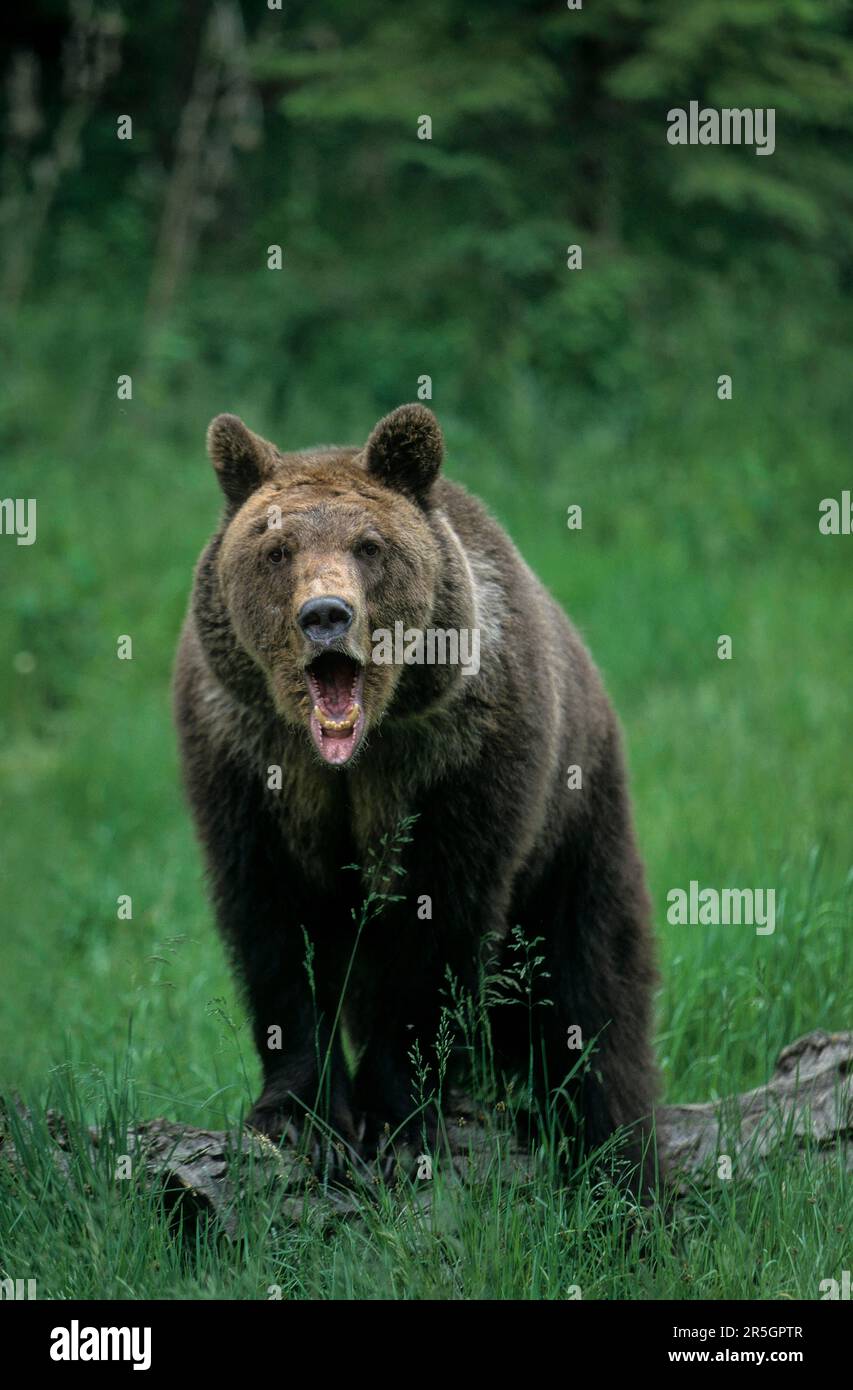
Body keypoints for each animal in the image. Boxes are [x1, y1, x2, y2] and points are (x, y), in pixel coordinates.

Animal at [173, 403, 659, 1187]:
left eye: (369, 545)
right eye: (276, 550)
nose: (325, 615)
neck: (351, 759)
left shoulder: (461, 764)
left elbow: (438, 934)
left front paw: (399, 1120)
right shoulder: (244, 765)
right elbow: (271, 931)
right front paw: (300, 1117)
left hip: (580, 824)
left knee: (592, 993)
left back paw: (616, 1158)